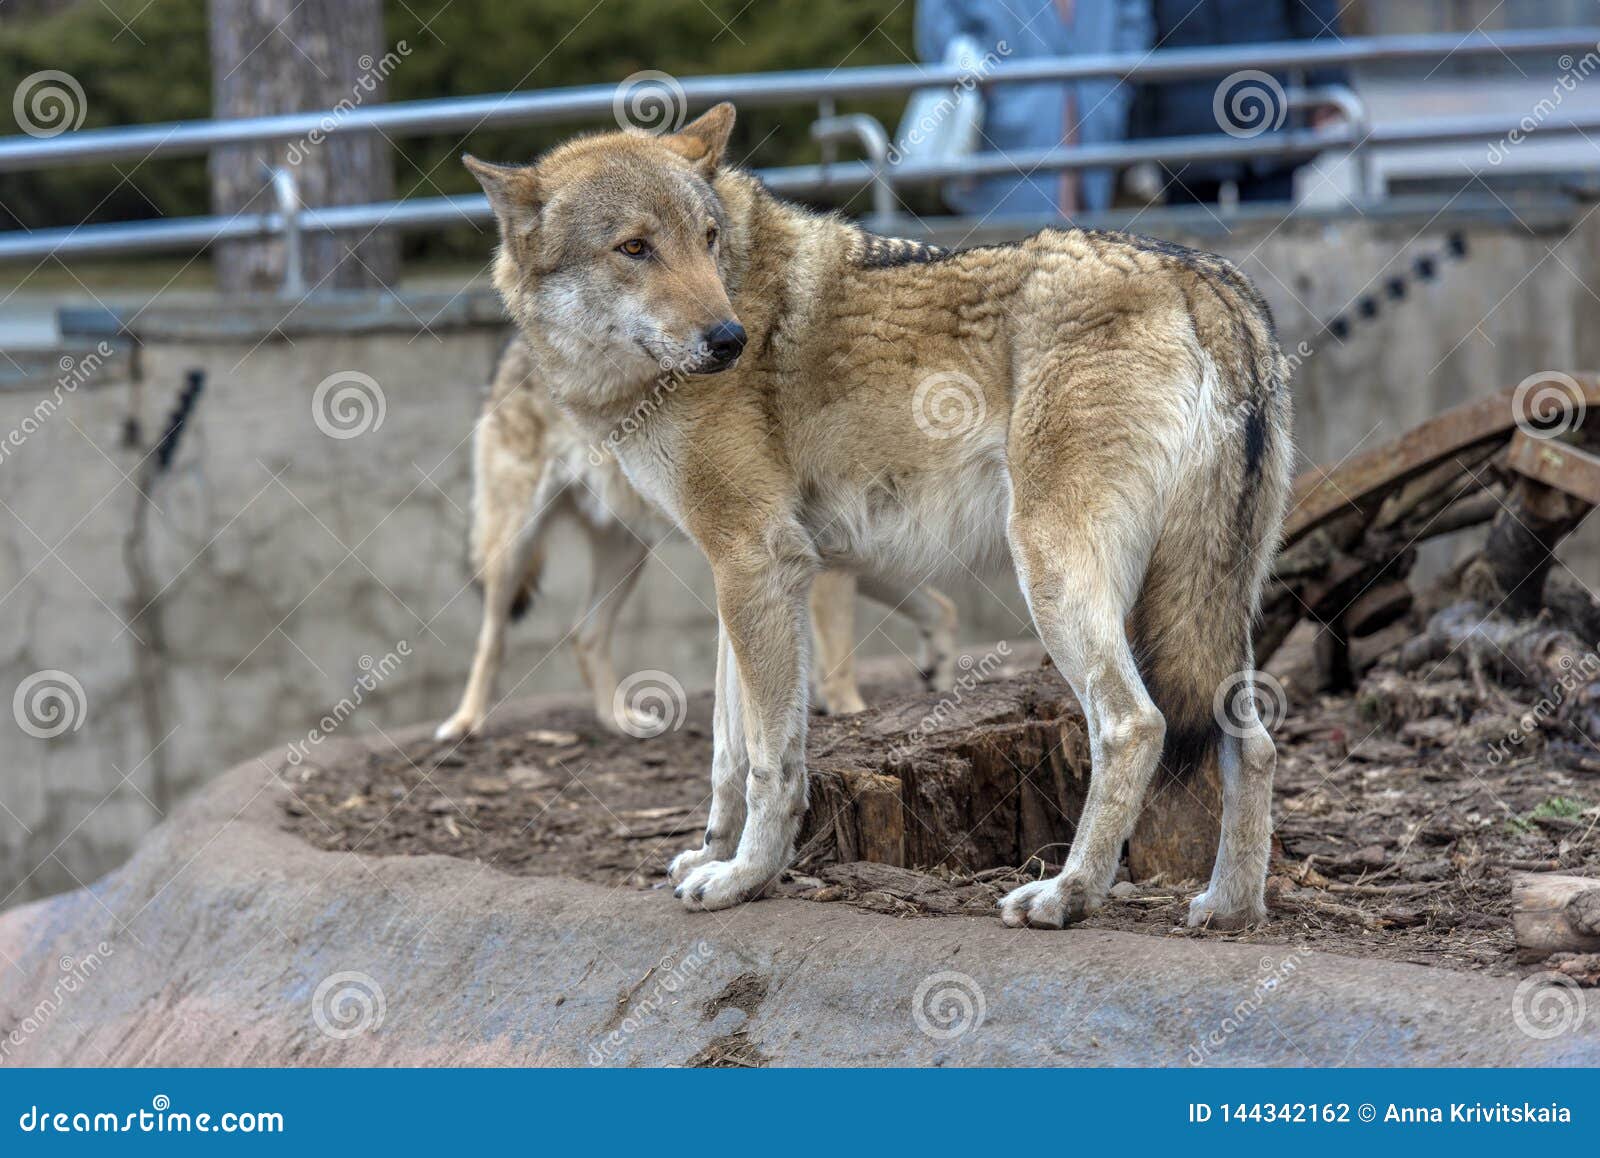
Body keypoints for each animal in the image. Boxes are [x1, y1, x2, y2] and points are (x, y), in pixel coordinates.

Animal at [435, 336, 960, 741]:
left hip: (627, 554)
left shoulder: (845, 559)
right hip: (515, 544)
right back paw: (465, 723)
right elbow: (840, 662)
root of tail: (513, 345)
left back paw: (618, 721)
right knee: (492, 637)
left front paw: (940, 671)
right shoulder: (819, 566)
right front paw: (850, 714)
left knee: (585, 634)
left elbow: (939, 607)